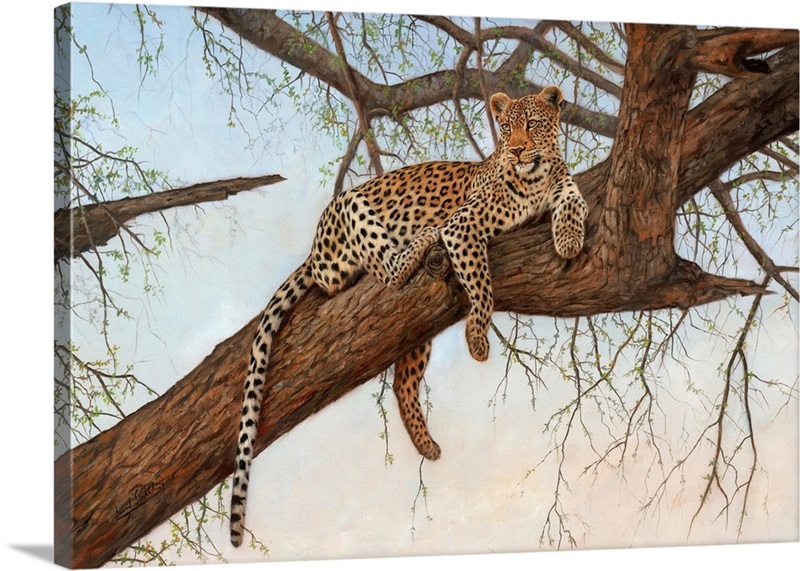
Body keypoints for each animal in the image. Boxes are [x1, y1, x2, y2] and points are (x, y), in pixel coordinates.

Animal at [229, 85, 588, 546]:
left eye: (534, 125)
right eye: (507, 129)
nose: (517, 149)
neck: (535, 178)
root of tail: (313, 250)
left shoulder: (564, 189)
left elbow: (574, 203)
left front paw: (568, 240)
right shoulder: (462, 226)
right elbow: (481, 282)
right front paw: (477, 337)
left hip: (413, 328)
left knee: (403, 381)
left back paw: (426, 446)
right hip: (353, 209)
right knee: (385, 268)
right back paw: (419, 239)